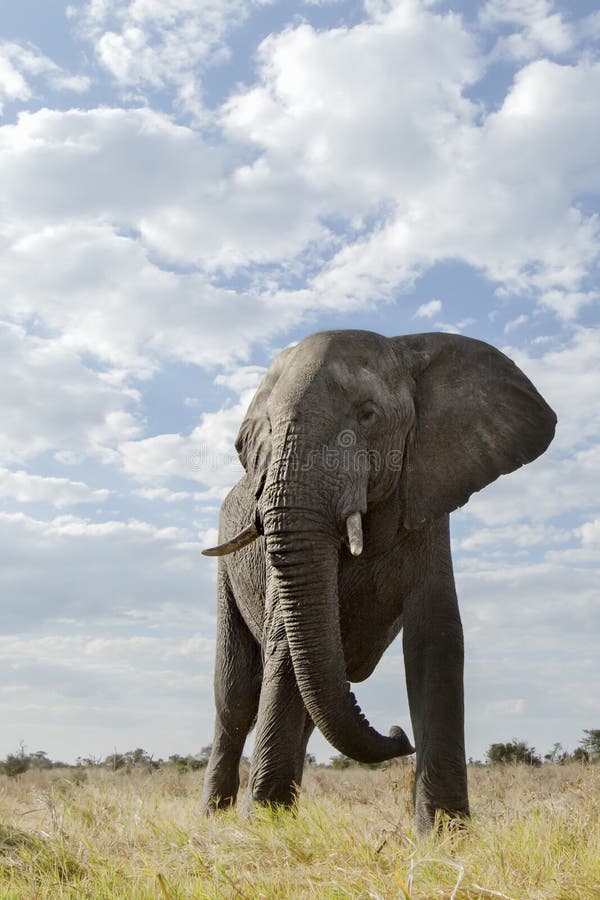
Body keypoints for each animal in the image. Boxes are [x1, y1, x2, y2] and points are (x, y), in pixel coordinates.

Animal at [200, 329, 556, 832]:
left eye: (368, 415)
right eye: (266, 428)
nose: (399, 735)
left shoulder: (428, 499)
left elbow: (435, 639)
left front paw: (445, 834)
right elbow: (283, 645)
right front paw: (263, 829)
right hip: (224, 580)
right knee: (234, 697)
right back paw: (213, 819)